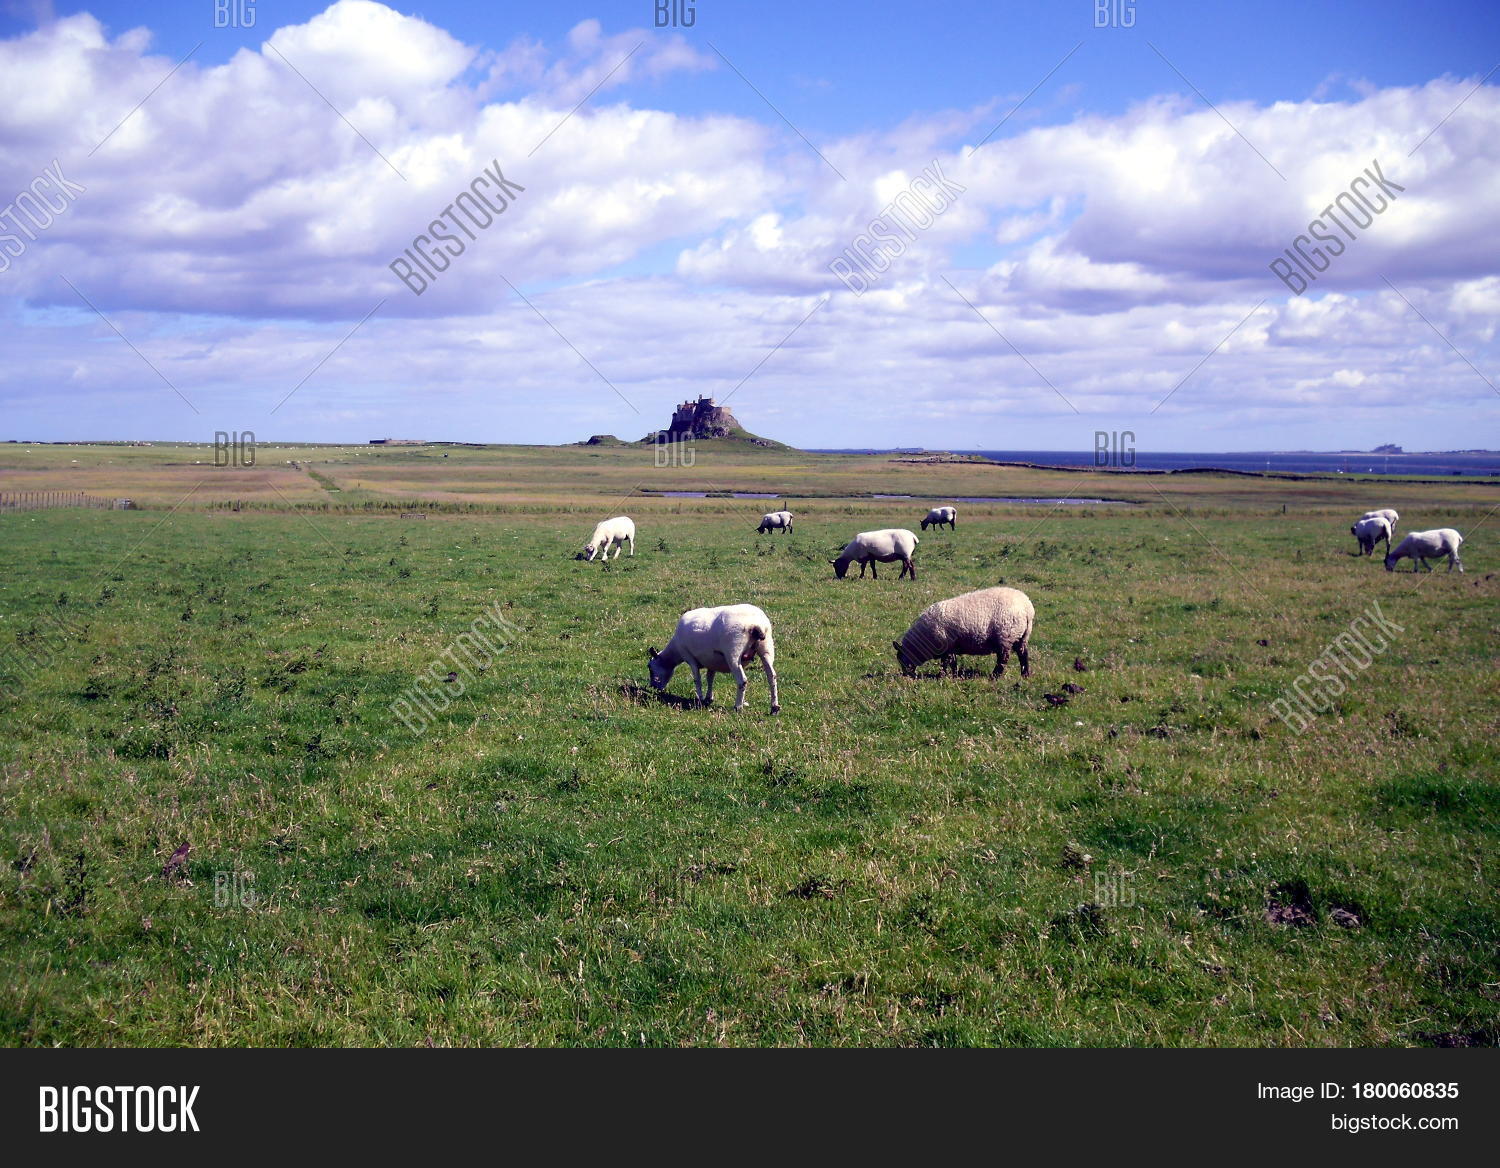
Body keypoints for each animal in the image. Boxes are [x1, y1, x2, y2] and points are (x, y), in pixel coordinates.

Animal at [648, 603, 780, 713]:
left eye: (650, 667)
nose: (653, 687)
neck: (675, 652)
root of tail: (756, 624)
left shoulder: (689, 657)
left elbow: (697, 679)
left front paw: (700, 699)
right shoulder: (712, 660)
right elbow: (710, 678)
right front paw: (708, 698)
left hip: (733, 652)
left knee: (742, 680)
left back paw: (738, 707)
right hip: (766, 648)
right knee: (771, 676)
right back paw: (774, 707)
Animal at [892, 586, 1034, 678]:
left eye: (901, 659)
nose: (906, 676)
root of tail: (1027, 608)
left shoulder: (946, 646)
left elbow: (945, 663)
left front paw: (941, 676)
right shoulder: (951, 647)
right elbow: (953, 662)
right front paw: (954, 675)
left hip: (1006, 636)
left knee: (1003, 659)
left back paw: (994, 676)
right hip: (1022, 636)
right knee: (1023, 654)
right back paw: (1025, 674)